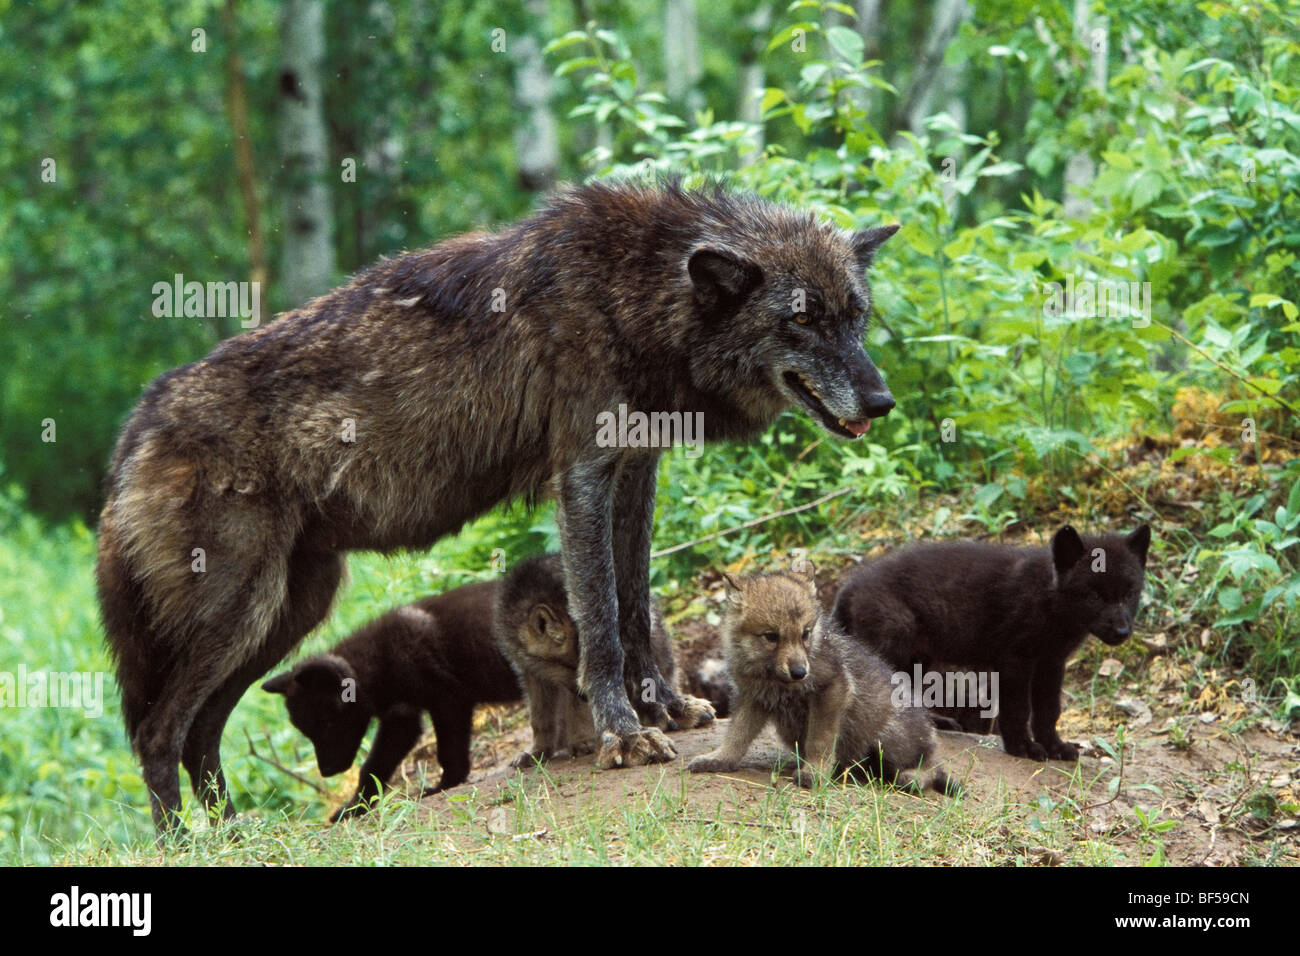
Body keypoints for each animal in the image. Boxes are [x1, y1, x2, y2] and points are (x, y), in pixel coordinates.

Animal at [262, 578, 521, 820]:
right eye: (308, 732)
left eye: (327, 723)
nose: (326, 771)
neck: (377, 660)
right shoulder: (403, 717)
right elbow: (375, 768)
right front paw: (356, 807)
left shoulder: (444, 703)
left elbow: (442, 752)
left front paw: (445, 784)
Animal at [495, 552, 676, 767]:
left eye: (586, 665)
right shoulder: (531, 674)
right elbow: (540, 719)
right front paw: (537, 752)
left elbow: (576, 710)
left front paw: (582, 742)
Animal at [688, 566, 953, 793]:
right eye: (771, 636)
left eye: (805, 633)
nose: (799, 673)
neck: (773, 679)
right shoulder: (752, 698)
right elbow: (736, 737)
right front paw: (718, 759)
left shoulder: (831, 690)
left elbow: (819, 739)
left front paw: (814, 772)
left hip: (889, 738)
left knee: (933, 761)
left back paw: (914, 777)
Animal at [832, 524, 1152, 760]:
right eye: (1095, 595)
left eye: (1129, 593)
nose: (1123, 630)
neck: (1050, 600)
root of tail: (849, 585)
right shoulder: (1016, 660)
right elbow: (1018, 710)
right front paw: (1023, 748)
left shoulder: (1051, 663)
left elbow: (1048, 711)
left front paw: (1055, 748)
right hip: (895, 648)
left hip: (919, 657)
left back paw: (937, 723)